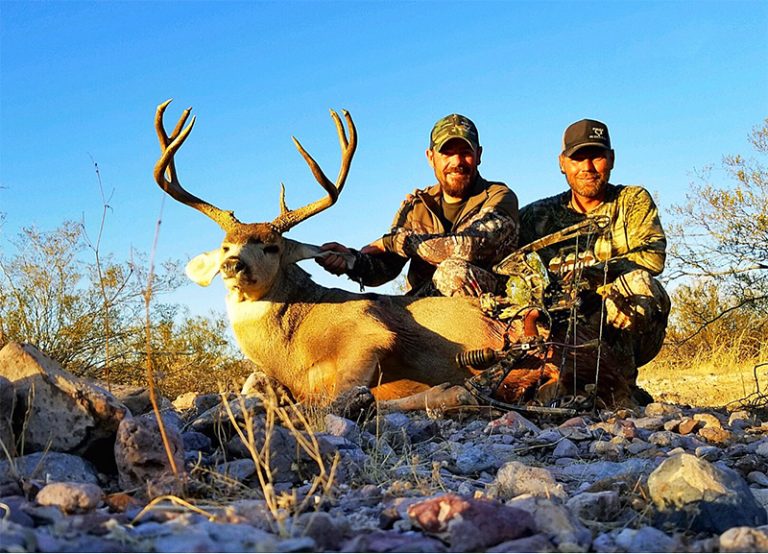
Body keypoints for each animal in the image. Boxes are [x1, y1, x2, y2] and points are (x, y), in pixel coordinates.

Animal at [153, 99, 519, 412]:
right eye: (226, 246)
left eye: (272, 246)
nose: (233, 265)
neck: (290, 348)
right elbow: (254, 384)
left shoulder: (368, 334)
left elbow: (339, 395)